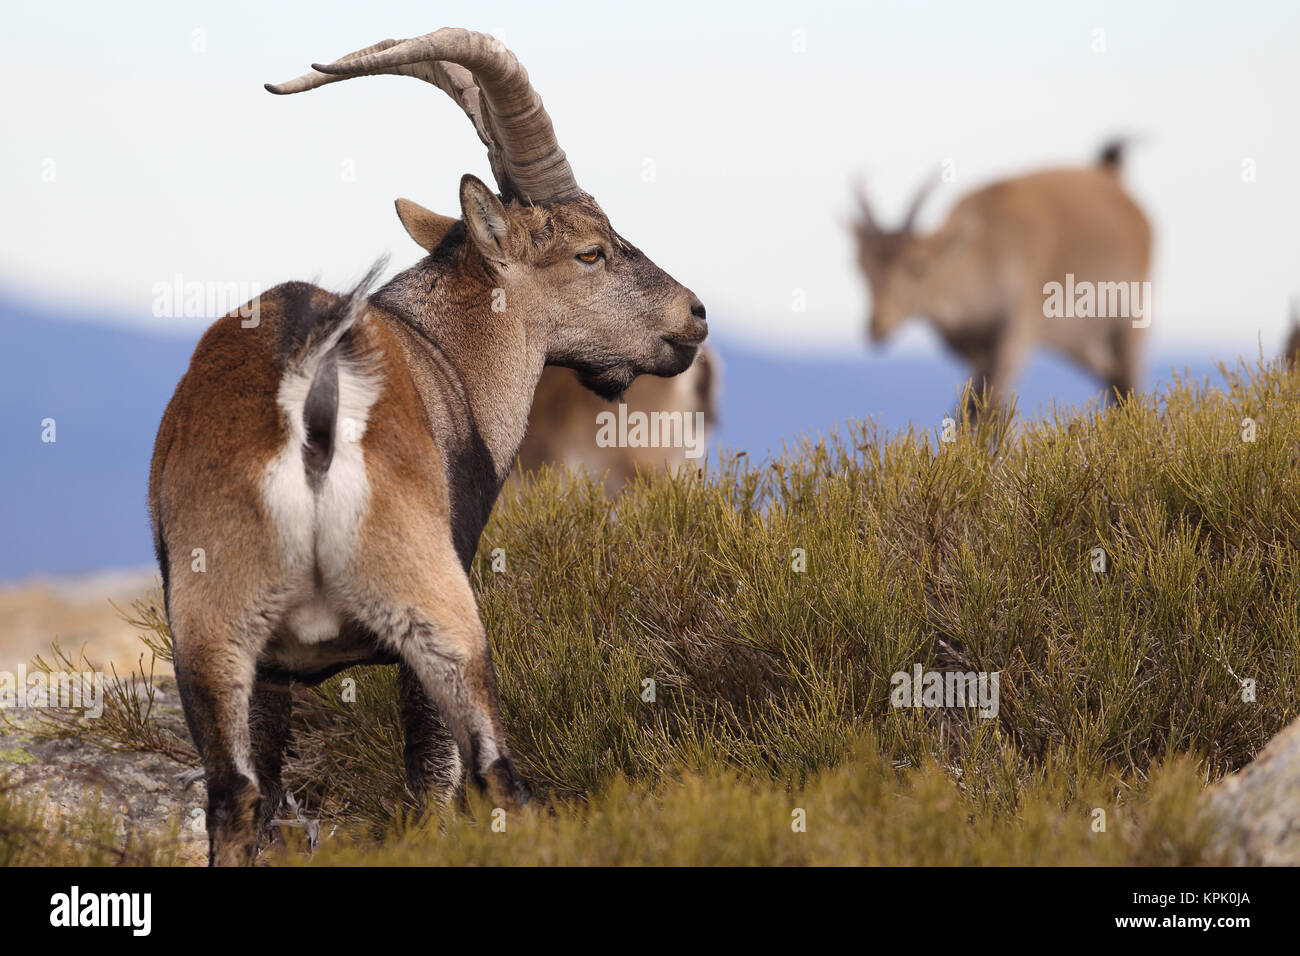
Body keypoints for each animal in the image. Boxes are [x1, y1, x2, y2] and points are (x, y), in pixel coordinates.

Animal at [149, 27, 707, 865]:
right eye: (591, 251)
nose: (693, 316)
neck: (447, 350)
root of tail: (311, 406)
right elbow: (436, 777)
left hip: (212, 632)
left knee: (239, 800)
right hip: (436, 609)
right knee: (489, 775)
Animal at [851, 141, 1152, 411]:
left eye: (918, 266)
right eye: (862, 267)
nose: (877, 325)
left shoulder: (1016, 334)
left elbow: (995, 405)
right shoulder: (974, 355)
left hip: (1129, 323)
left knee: (1128, 381)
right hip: (1085, 346)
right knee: (1113, 381)